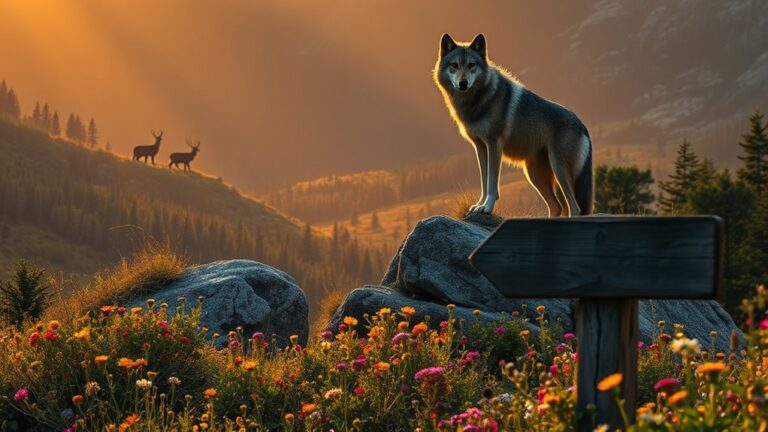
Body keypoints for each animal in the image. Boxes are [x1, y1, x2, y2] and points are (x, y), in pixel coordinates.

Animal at [434, 33, 593, 217]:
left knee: (574, 207)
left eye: (471, 65)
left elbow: (492, 184)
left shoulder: (494, 145)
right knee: (556, 206)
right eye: (454, 65)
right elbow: (484, 181)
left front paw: (487, 207)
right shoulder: (480, 147)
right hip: (534, 175)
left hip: (558, 170)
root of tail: (582, 125)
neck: (478, 100)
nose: (463, 83)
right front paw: (479, 205)